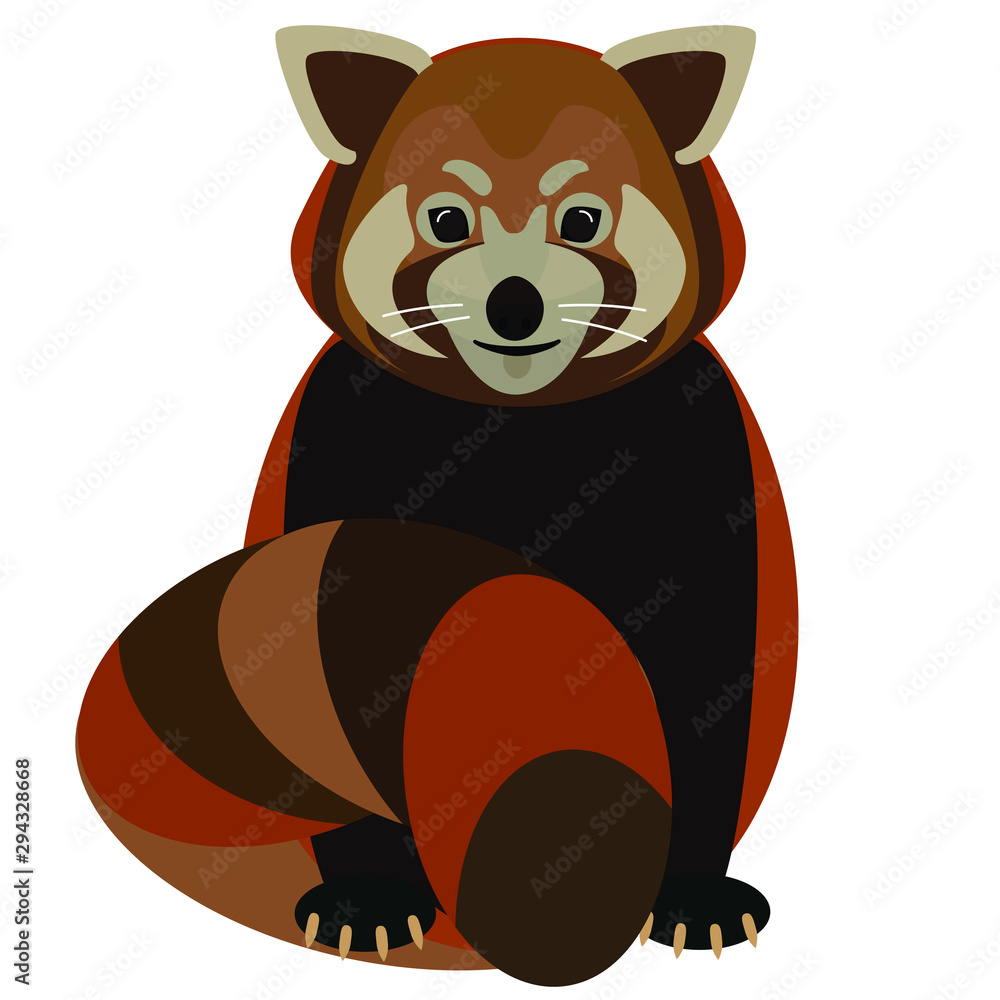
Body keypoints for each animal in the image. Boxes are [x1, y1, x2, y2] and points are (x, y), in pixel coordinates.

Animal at [76, 25, 797, 989]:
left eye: (582, 220)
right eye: (448, 220)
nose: (514, 302)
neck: (520, 419)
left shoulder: (699, 444)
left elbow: (705, 679)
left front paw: (688, 893)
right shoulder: (342, 439)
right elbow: (333, 674)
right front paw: (371, 901)